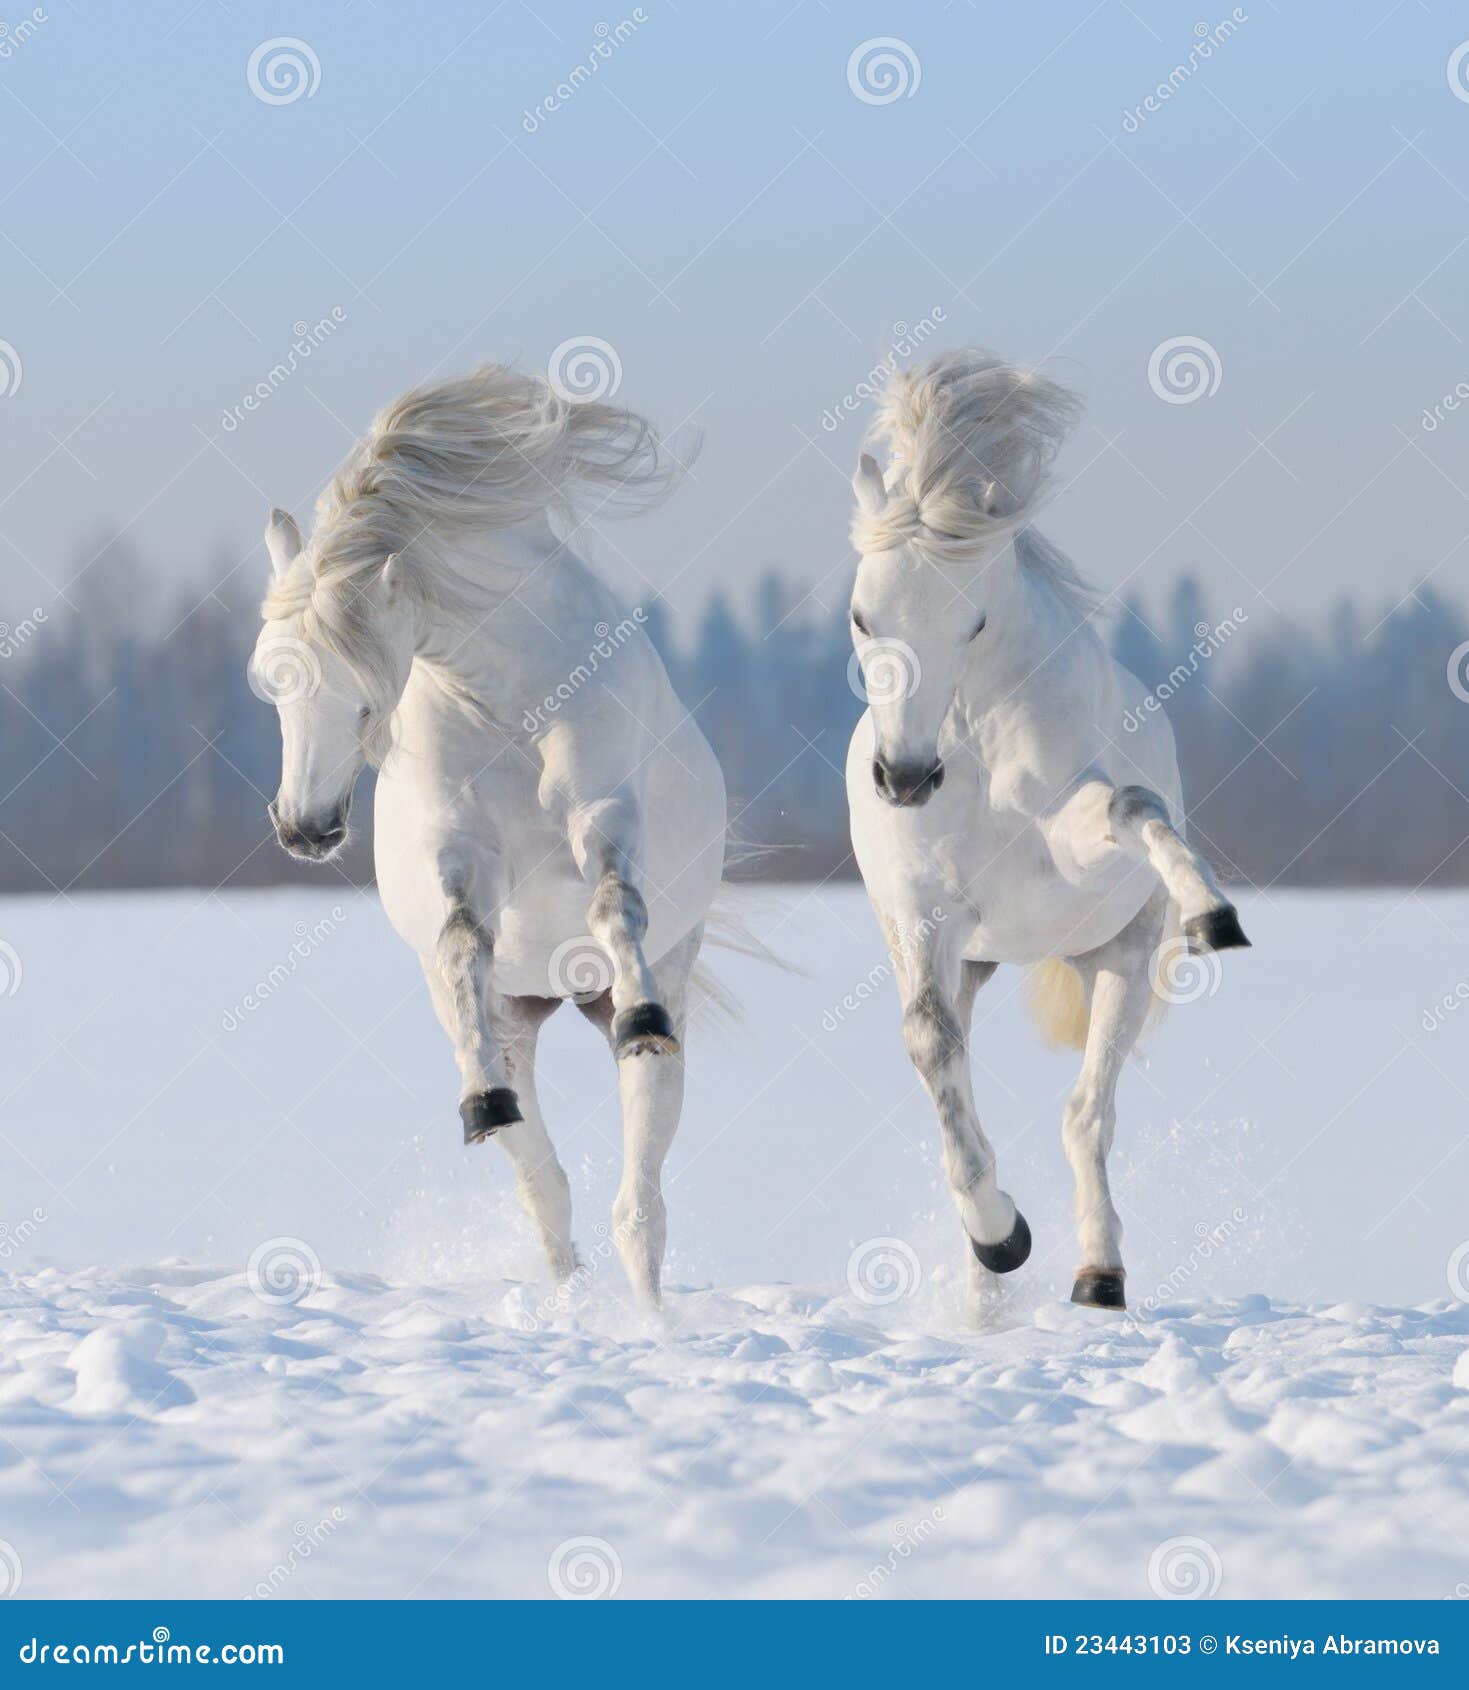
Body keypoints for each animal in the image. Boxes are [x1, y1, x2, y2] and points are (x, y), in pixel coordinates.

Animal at [250, 362, 727, 1304]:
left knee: (639, 1201)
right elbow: (463, 941)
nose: (303, 828)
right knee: (546, 1190)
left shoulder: (604, 813)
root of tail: (558, 993)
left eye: (364, 697)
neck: (510, 697)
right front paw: (478, 1101)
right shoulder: (459, 852)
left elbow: (615, 905)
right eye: (272, 684)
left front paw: (642, 1009)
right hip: (514, 1016)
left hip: (654, 995)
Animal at [843, 348, 1249, 1314]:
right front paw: (1001, 1238)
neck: (969, 738)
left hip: (1118, 961)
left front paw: (1213, 913)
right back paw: (985, 1298)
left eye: (973, 620)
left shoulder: (1071, 838)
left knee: (1086, 1114)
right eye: (862, 616)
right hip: (972, 960)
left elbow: (1131, 807)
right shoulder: (923, 913)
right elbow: (929, 1047)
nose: (904, 778)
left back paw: (1098, 1274)